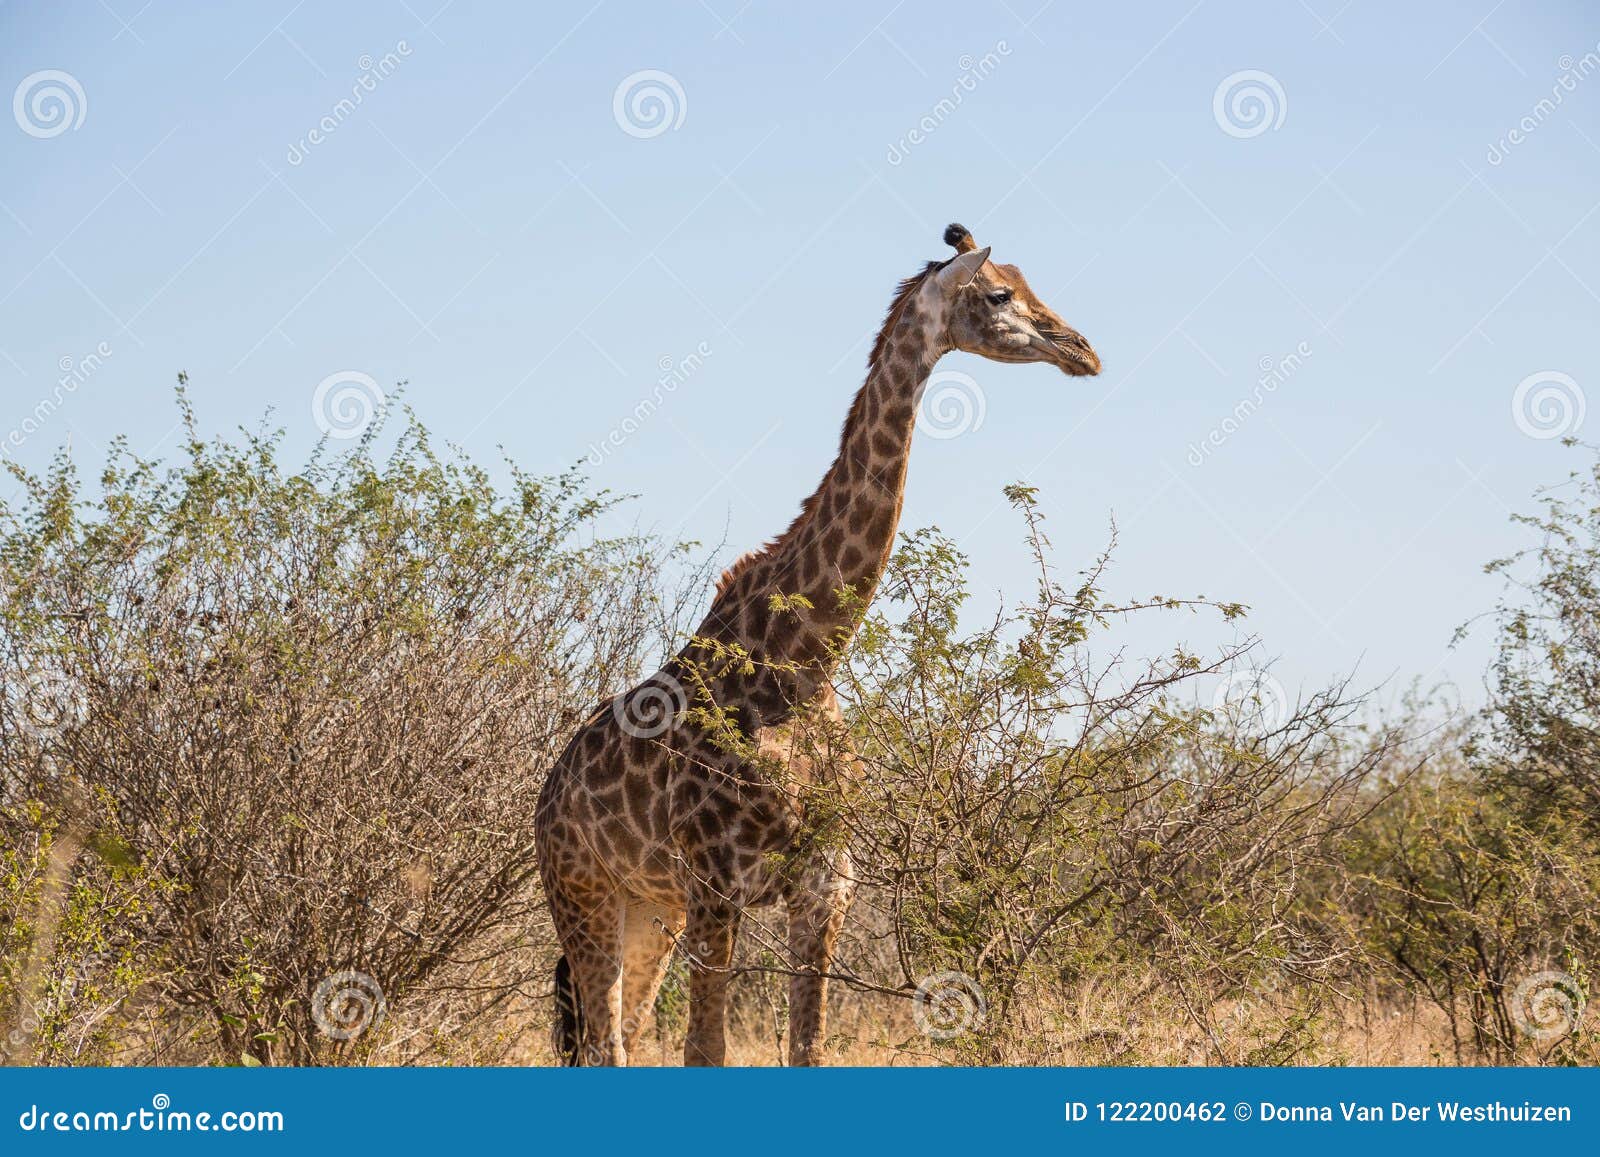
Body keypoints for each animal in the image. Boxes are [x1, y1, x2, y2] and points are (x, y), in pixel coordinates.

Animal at [534, 223, 1101, 1066]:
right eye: (1000, 294)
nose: (1083, 350)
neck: (801, 659)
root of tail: (547, 794)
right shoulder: (718, 880)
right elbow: (707, 1049)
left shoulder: (823, 886)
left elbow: (809, 1047)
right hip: (584, 891)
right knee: (605, 1045)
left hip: (649, 908)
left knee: (625, 1036)